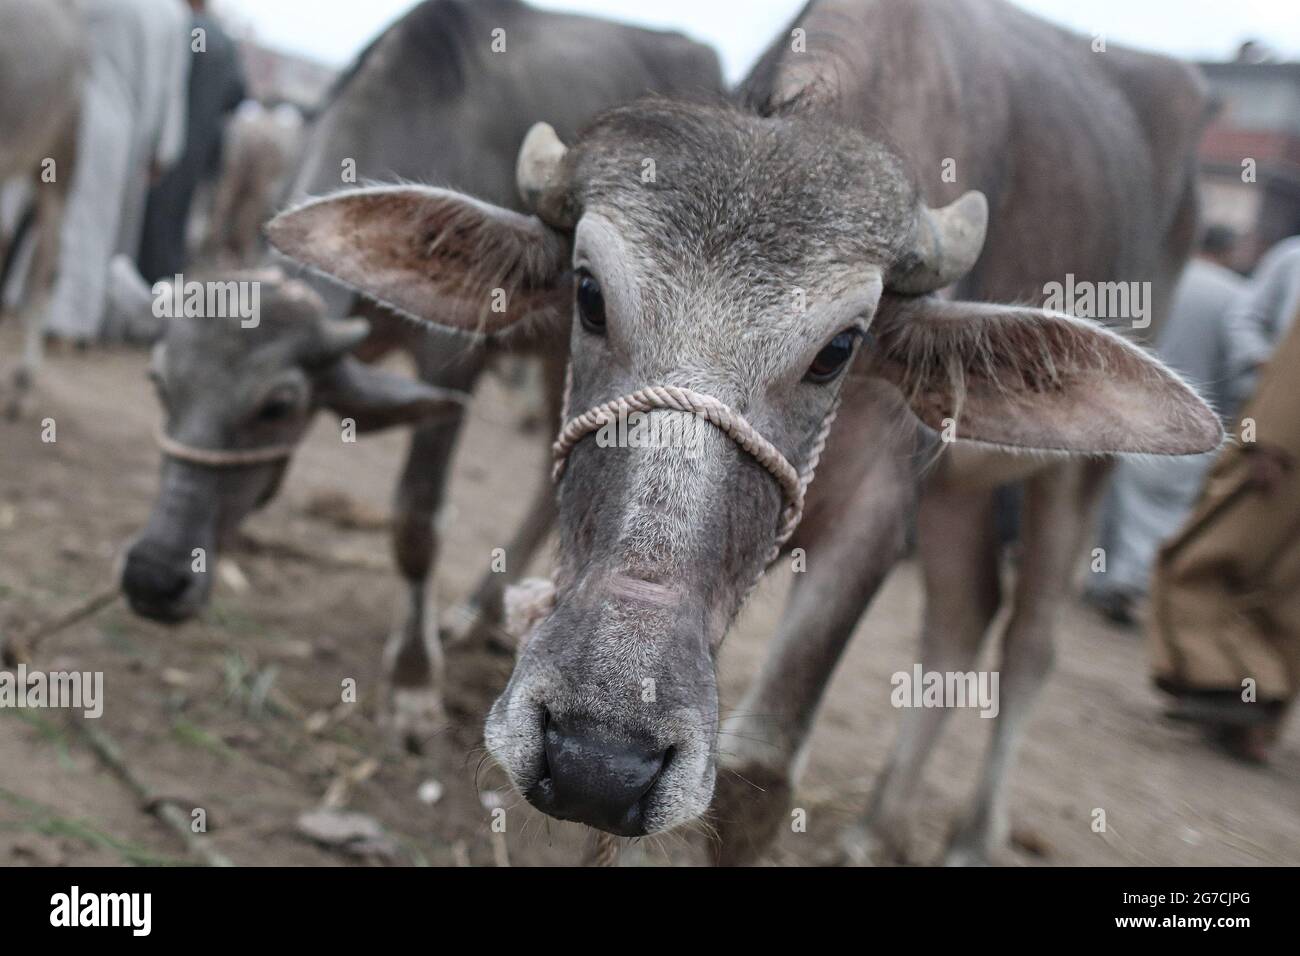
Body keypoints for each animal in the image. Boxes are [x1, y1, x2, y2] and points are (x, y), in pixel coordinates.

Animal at [122, 0, 724, 744]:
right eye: (160, 384)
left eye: (278, 405)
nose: (153, 578)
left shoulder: (453, 362)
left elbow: (416, 520)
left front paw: (412, 683)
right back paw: (480, 610)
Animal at [267, 0, 1220, 863]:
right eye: (587, 293)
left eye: (840, 349)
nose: (597, 758)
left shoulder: (876, 522)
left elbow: (760, 769)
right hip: (960, 494)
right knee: (962, 617)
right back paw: (875, 831)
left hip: (1078, 476)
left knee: (1028, 646)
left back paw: (973, 837)